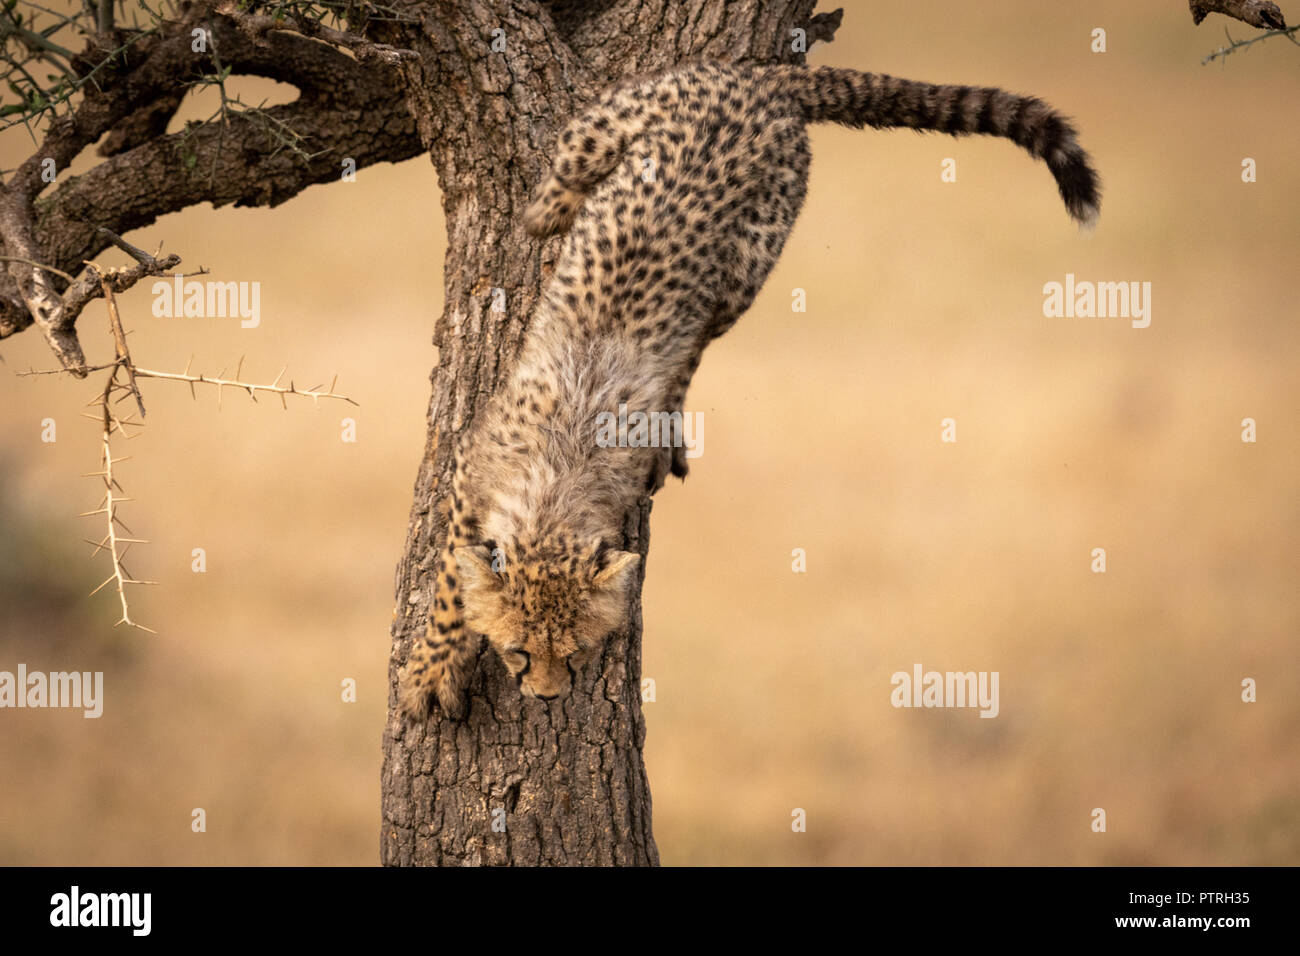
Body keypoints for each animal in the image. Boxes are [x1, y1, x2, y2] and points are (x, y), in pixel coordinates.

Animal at [398, 61, 1100, 719]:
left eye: (574, 653)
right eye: (519, 651)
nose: (546, 695)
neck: (555, 486)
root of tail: (766, 81)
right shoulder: (469, 475)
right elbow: (451, 586)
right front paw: (432, 673)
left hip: (748, 256)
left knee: (698, 333)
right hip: (605, 131)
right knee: (557, 193)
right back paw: (550, 219)